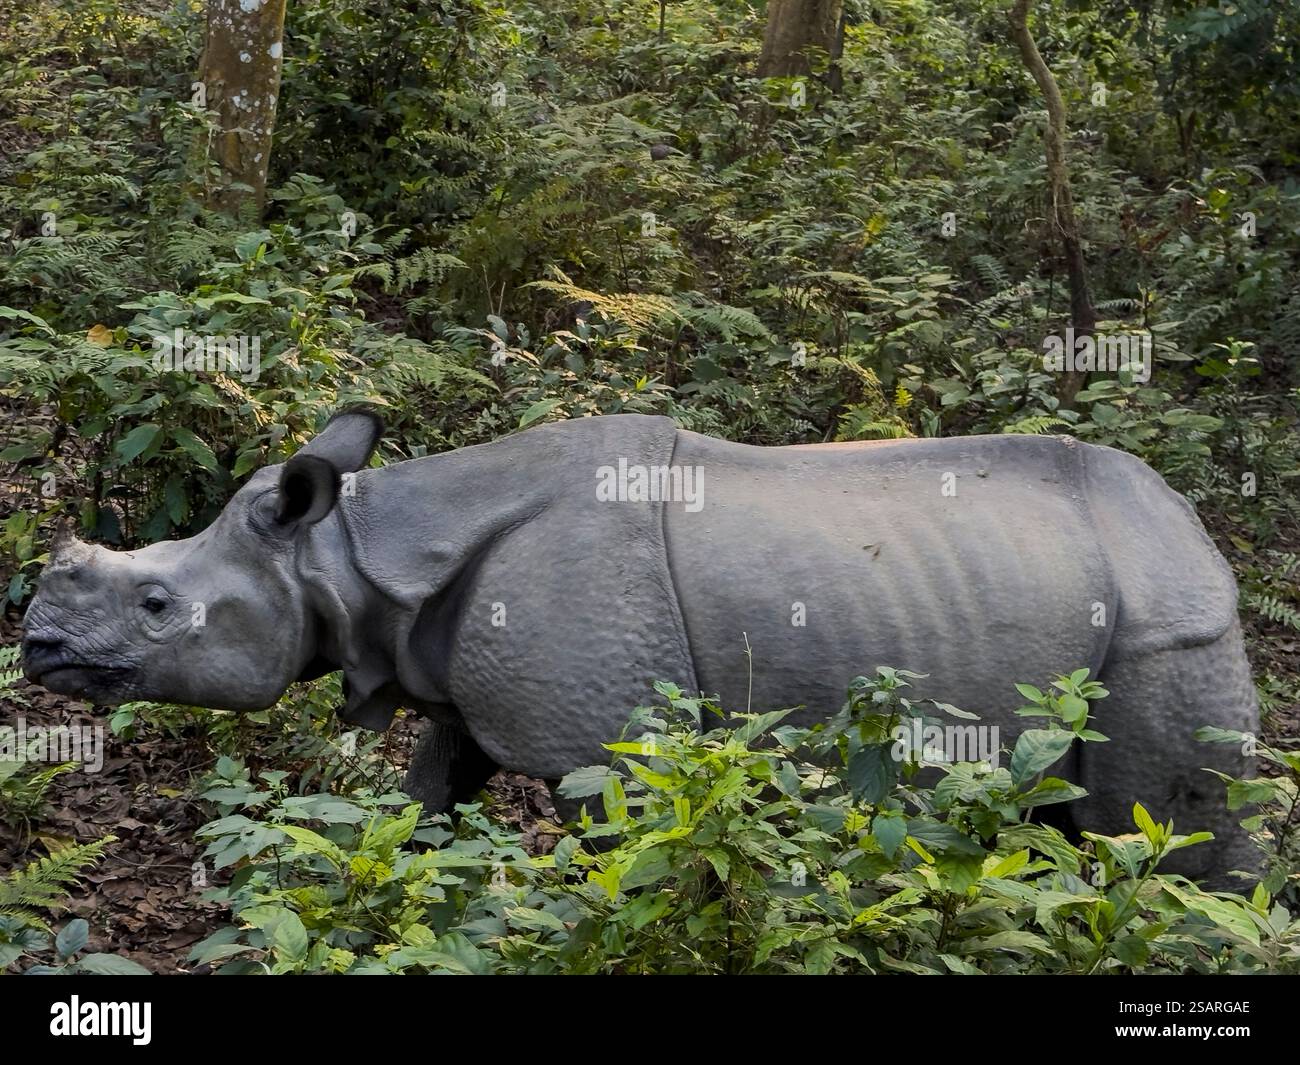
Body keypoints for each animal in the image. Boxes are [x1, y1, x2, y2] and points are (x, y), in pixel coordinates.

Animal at [21, 410, 1258, 879]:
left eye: (157, 607)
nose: (35, 645)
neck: (348, 553)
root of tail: (1194, 528)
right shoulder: (462, 695)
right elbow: (425, 813)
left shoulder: (607, 739)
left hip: (1174, 630)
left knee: (1163, 836)